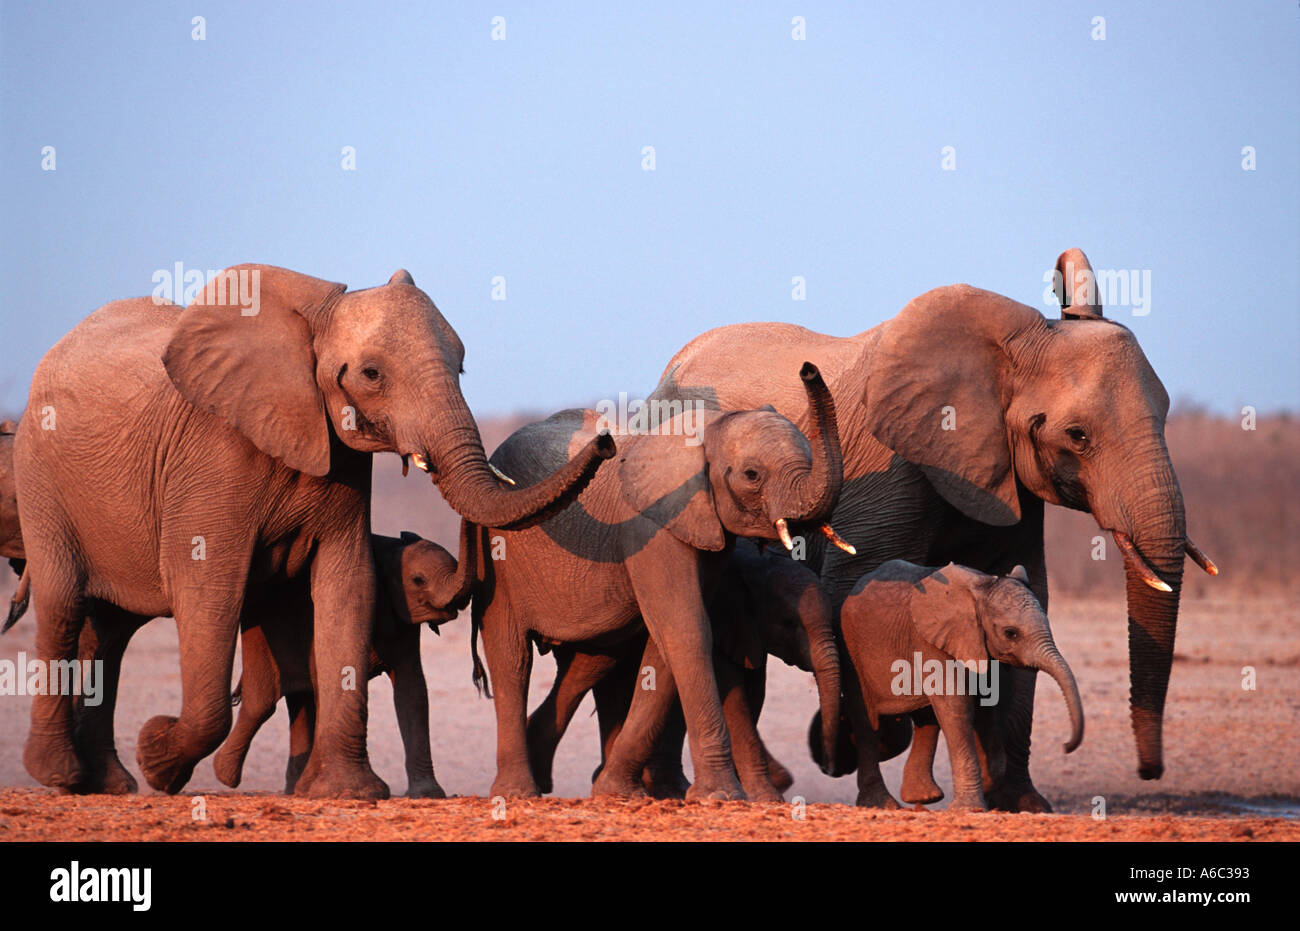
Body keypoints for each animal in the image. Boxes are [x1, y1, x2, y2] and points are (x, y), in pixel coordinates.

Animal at [213, 523, 474, 797]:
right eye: (418, 580)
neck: (393, 548)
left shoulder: (404, 623)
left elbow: (412, 690)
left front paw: (427, 794)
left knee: (298, 701)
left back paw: (294, 788)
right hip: (261, 632)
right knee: (263, 702)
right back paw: (228, 775)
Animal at [525, 538, 837, 802]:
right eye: (788, 622)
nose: (828, 766)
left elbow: (753, 694)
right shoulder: (721, 619)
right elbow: (734, 697)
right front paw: (768, 798)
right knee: (589, 673)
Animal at [826, 560, 1084, 811]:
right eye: (1011, 633)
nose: (1066, 745)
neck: (983, 585)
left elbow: (985, 704)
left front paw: (988, 785)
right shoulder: (930, 640)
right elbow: (956, 706)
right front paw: (972, 808)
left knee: (927, 718)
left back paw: (923, 797)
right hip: (852, 652)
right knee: (866, 721)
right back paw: (883, 804)